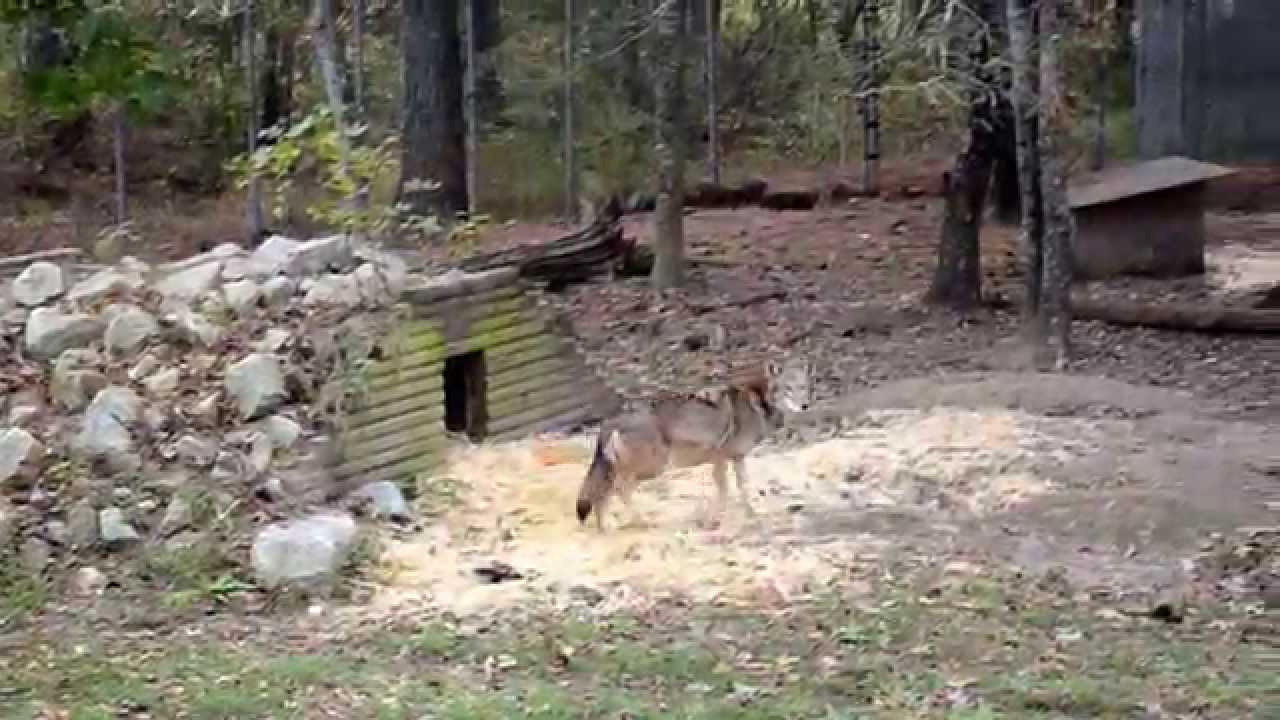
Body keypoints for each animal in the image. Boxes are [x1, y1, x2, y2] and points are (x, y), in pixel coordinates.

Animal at [575, 357, 814, 531]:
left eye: (803, 387)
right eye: (788, 388)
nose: (805, 405)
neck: (757, 403)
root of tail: (611, 421)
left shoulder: (735, 458)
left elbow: (741, 487)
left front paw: (750, 513)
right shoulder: (723, 457)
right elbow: (727, 489)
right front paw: (719, 519)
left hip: (627, 469)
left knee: (604, 494)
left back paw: (605, 527)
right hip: (653, 468)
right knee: (619, 490)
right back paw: (640, 521)